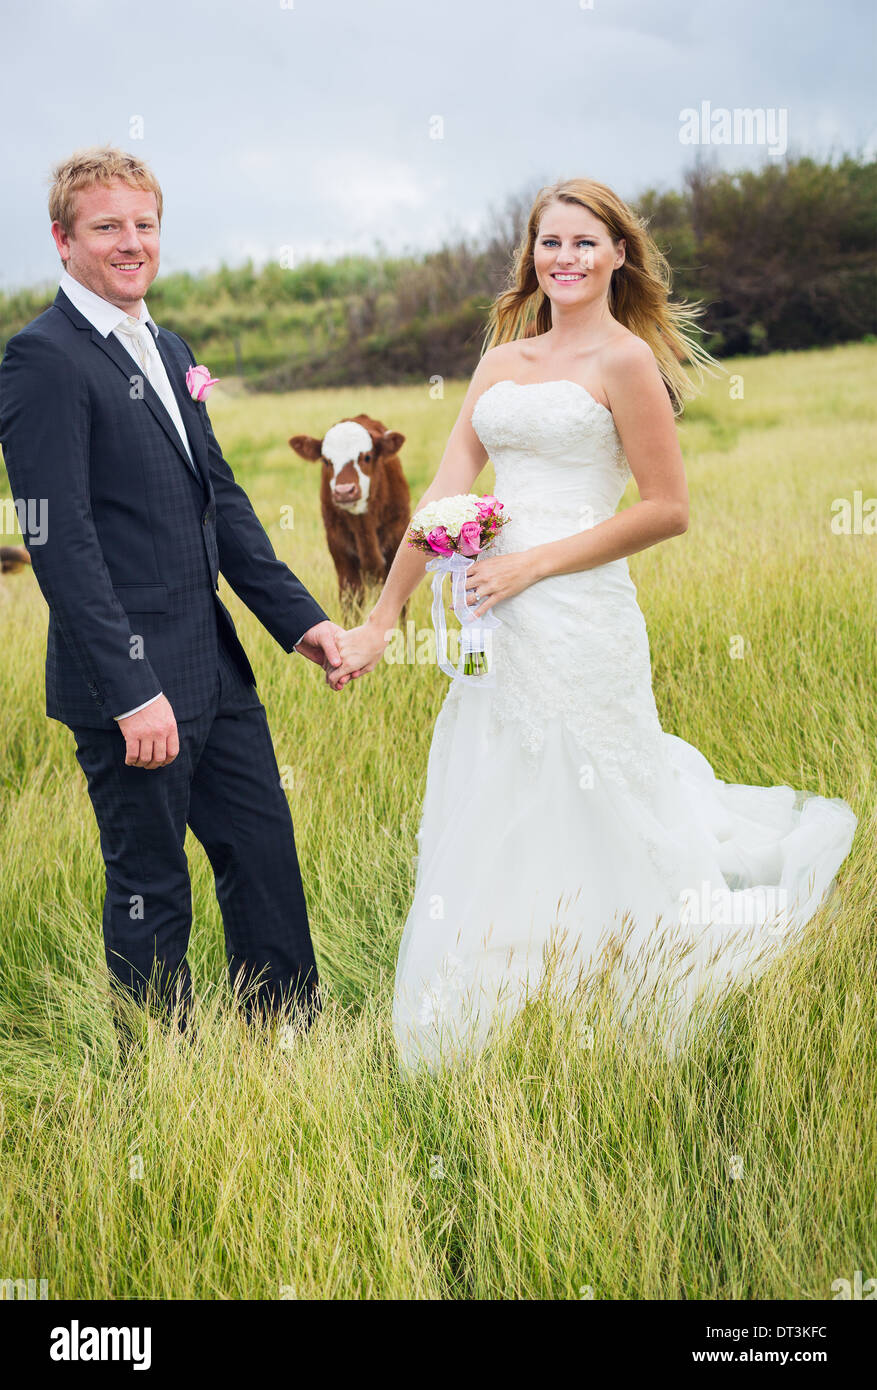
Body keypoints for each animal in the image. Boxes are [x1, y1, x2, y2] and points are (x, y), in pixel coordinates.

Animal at [289, 412, 411, 612]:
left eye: (367, 457)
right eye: (326, 461)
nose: (344, 491)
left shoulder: (397, 546)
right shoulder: (343, 562)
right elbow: (351, 606)